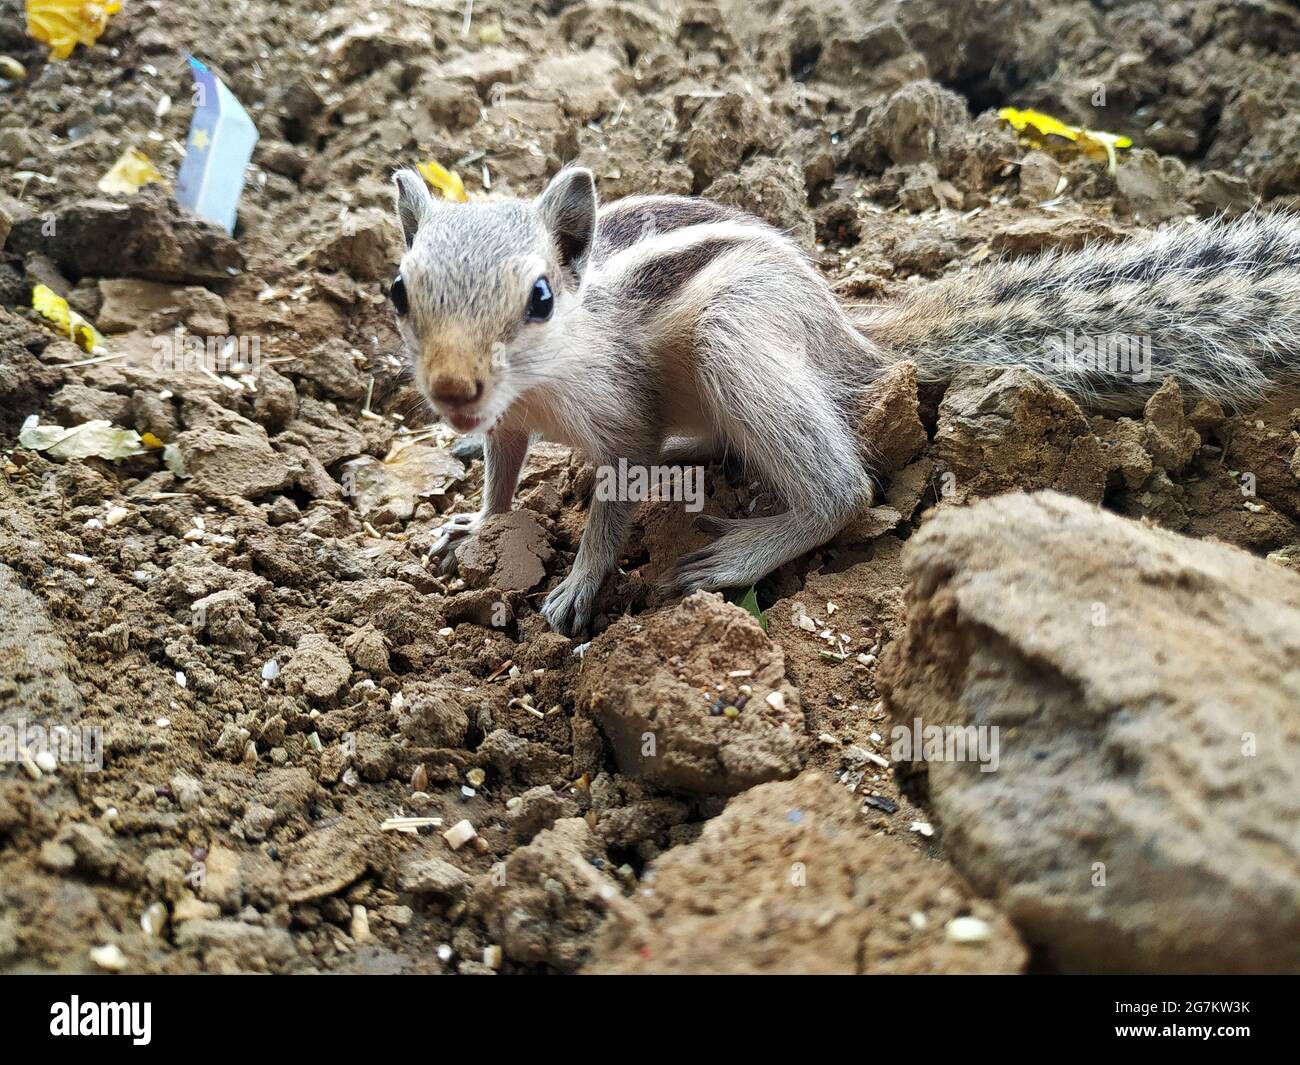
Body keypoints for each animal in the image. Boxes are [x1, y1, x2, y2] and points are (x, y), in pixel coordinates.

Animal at [388, 165, 1300, 635]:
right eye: (399, 289)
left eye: (540, 296)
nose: (453, 390)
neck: (540, 382)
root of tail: (852, 335)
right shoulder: (508, 422)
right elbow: (501, 471)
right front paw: (475, 524)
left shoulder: (620, 418)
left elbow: (613, 510)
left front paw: (578, 586)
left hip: (733, 337)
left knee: (844, 489)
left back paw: (744, 550)